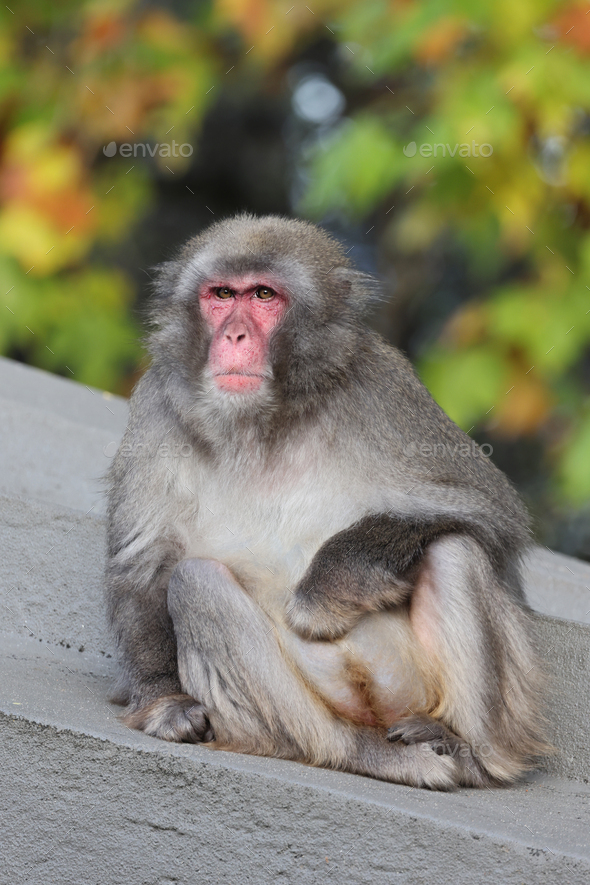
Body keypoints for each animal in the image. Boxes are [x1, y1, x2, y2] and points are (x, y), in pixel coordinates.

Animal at [105, 213, 548, 791]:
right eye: (221, 295)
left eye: (264, 295)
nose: (234, 335)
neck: (267, 425)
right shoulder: (156, 404)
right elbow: (143, 566)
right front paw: (163, 700)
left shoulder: (384, 390)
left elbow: (488, 511)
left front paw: (324, 592)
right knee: (196, 581)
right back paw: (364, 756)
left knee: (456, 548)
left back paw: (469, 752)